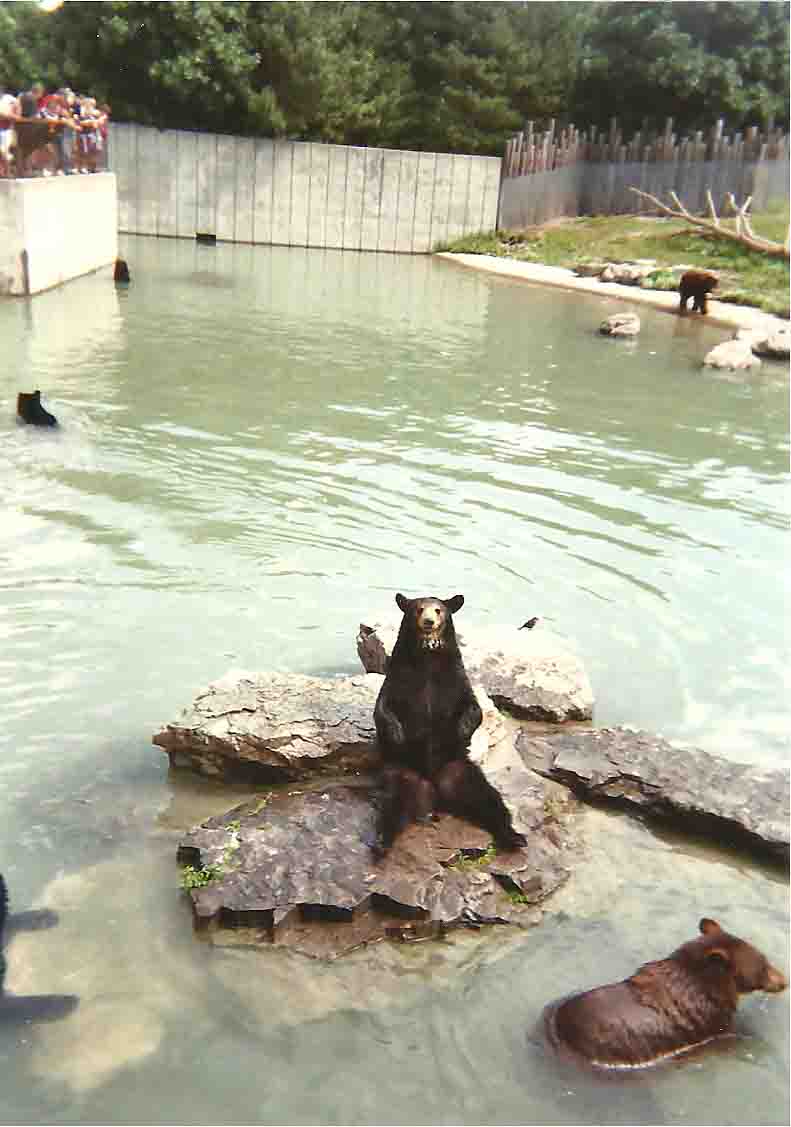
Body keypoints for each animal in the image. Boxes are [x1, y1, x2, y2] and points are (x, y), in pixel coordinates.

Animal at [372, 592, 527, 855]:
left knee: (489, 800)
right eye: (418, 609)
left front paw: (462, 729)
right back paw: (381, 842)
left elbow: (473, 707)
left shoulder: (455, 678)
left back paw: (513, 837)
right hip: (402, 773)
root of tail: (434, 790)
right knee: (391, 805)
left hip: (460, 771)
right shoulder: (398, 678)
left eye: (439, 610)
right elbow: (383, 707)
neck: (427, 659)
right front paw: (396, 733)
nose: (428, 622)